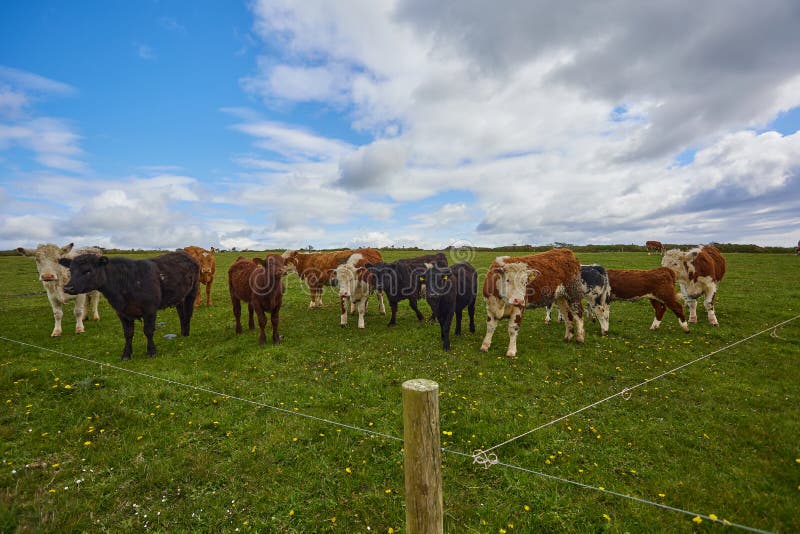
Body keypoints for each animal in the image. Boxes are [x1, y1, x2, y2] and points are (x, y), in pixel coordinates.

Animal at [59, 251, 199, 360]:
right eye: (70, 270)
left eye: (88, 271)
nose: (68, 287)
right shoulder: (122, 312)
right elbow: (128, 334)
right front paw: (126, 354)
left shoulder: (150, 309)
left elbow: (148, 331)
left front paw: (151, 352)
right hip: (179, 297)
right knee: (181, 315)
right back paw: (183, 333)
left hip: (192, 292)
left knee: (188, 314)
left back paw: (186, 334)